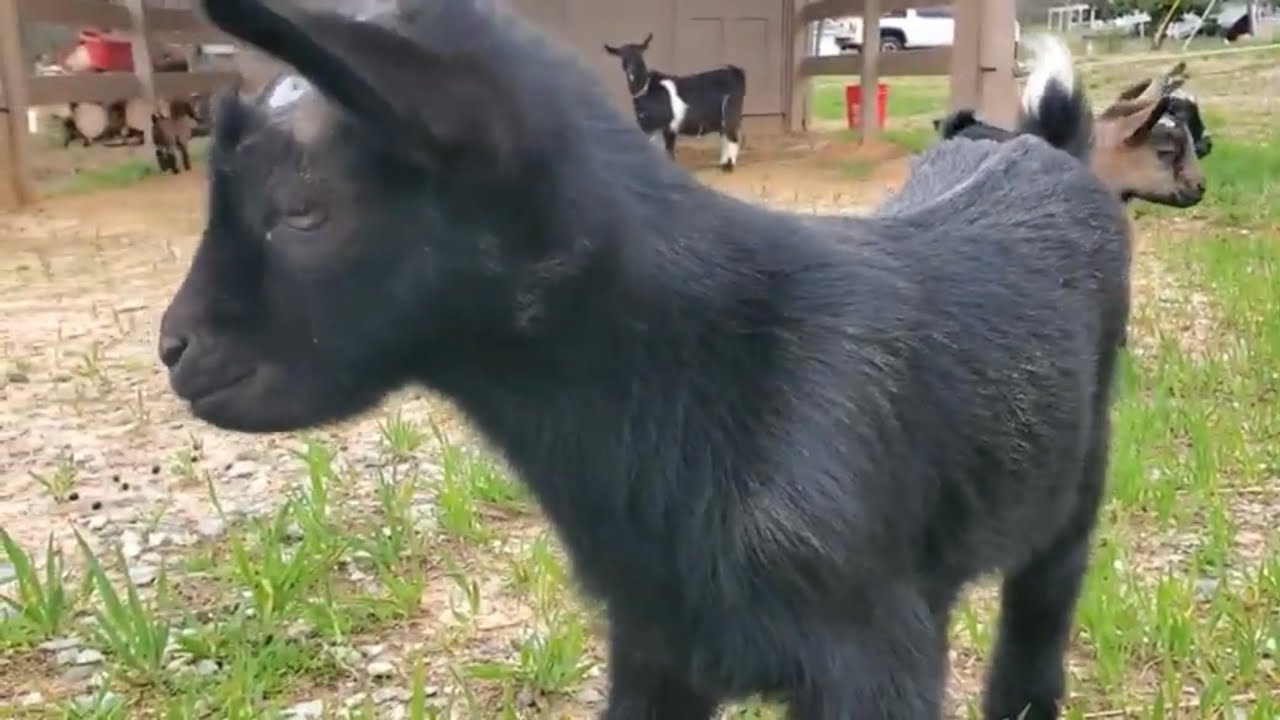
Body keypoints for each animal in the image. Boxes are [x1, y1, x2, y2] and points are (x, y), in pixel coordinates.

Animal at [604, 33, 746, 172]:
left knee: (732, 138)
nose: (631, 73)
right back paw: (722, 163)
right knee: (725, 137)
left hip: (730, 112)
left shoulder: (668, 126)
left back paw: (728, 167)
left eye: (640, 55)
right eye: (623, 57)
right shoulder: (652, 128)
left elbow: (668, 152)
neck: (647, 88)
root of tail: (735, 72)